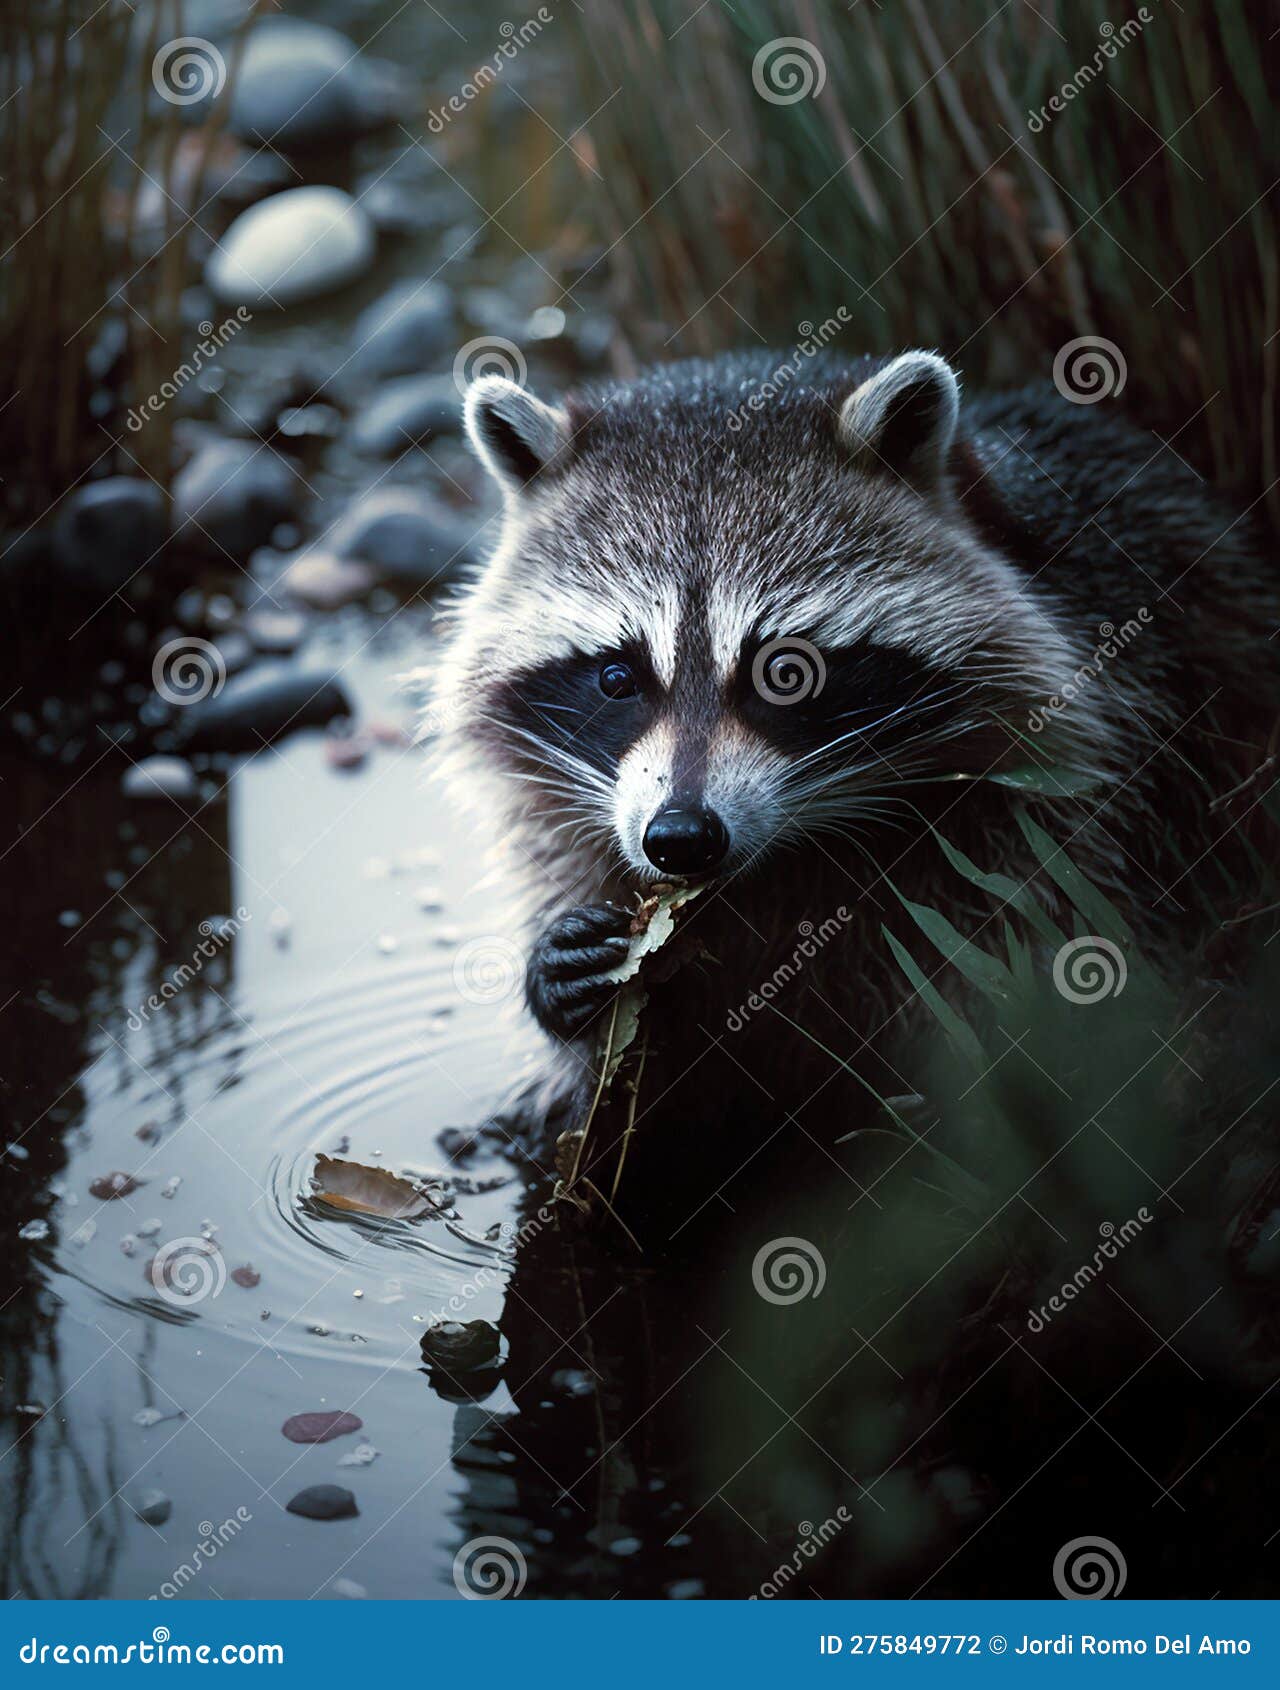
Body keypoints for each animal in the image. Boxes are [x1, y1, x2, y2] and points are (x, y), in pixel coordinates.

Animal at [436, 350, 1277, 1168]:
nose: (682, 839)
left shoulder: (1052, 794)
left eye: (785, 672)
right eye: (618, 678)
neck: (776, 865)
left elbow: (1041, 965)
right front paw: (563, 989)